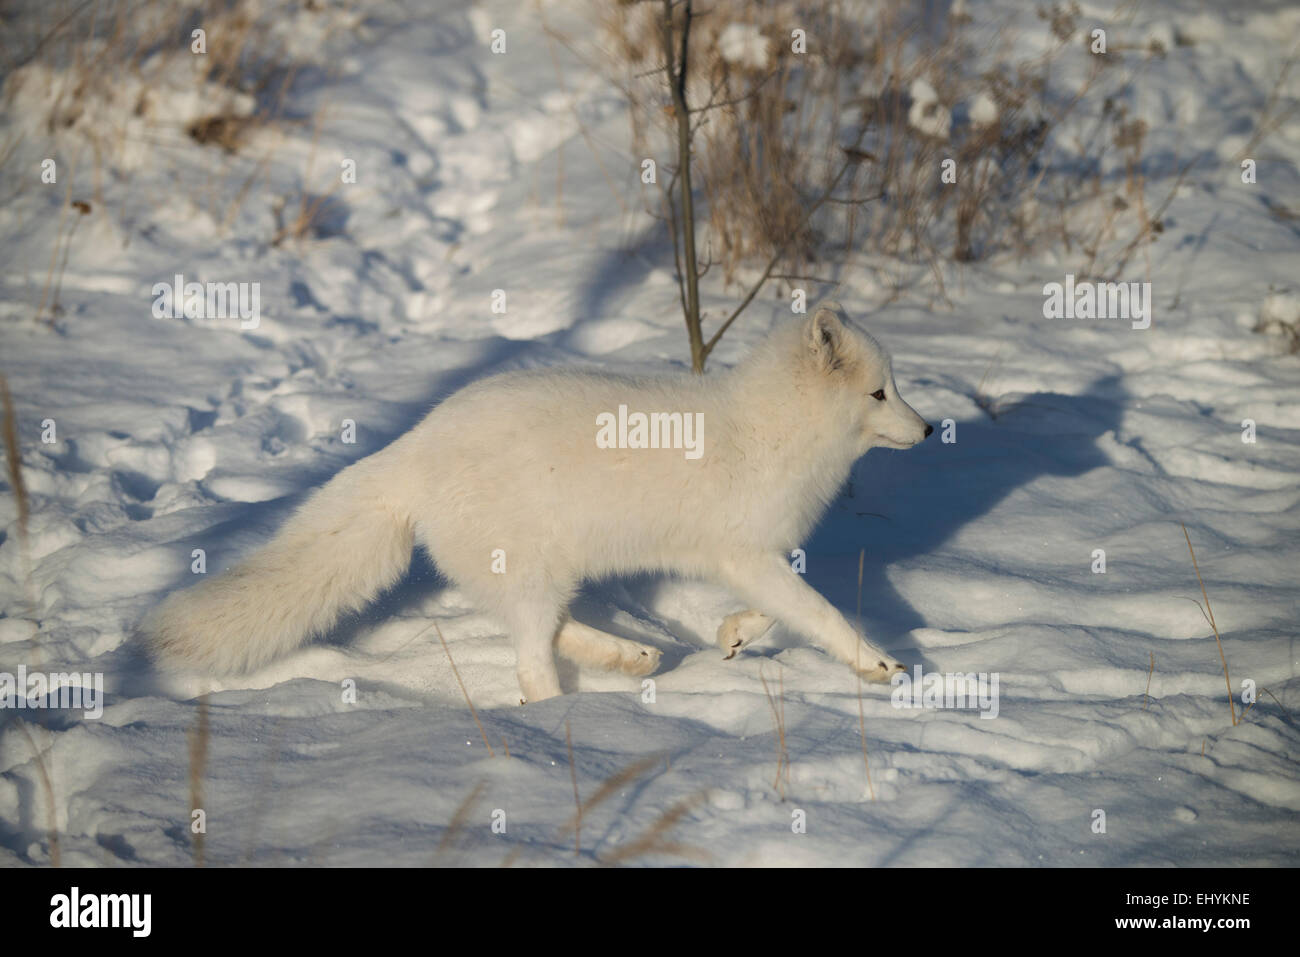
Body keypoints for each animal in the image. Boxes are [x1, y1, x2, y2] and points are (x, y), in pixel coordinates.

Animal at [143, 302, 933, 702]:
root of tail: (414, 445)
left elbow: (778, 609)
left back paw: (631, 656)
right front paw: (879, 666)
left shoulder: (744, 555)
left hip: (538, 573)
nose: (929, 430)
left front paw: (733, 635)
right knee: (531, 664)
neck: (768, 430)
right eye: (879, 393)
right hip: (529, 570)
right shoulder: (743, 552)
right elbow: (822, 613)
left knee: (548, 633)